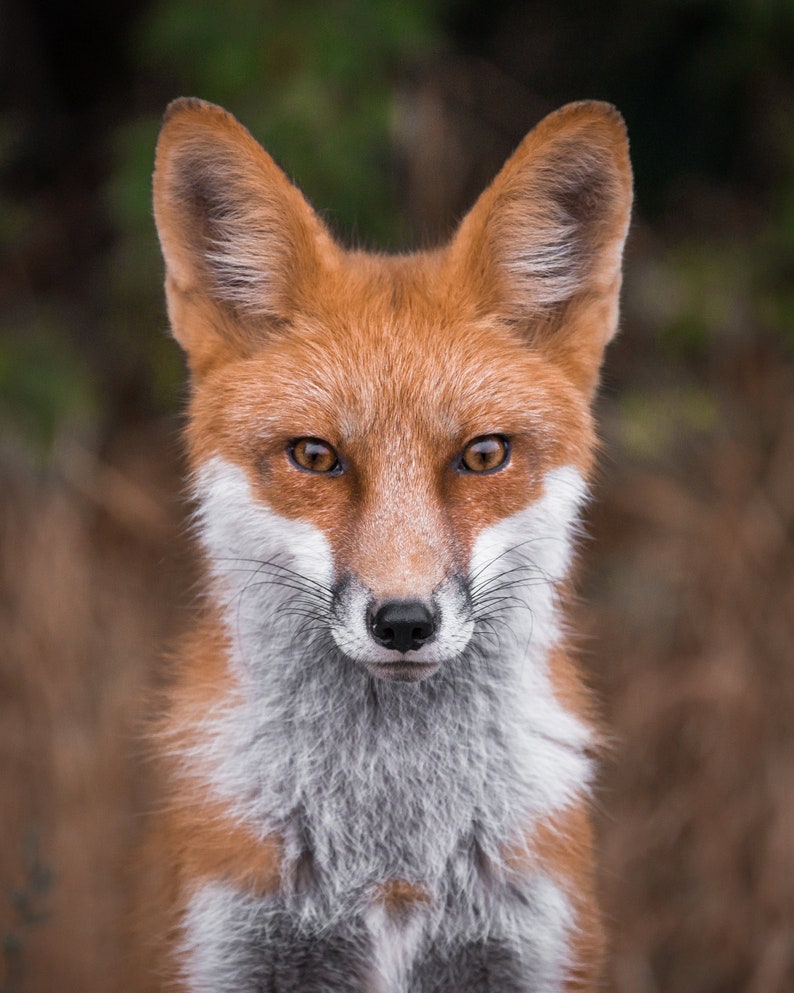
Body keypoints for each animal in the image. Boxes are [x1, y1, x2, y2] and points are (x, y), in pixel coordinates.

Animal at [145, 96, 632, 993]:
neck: (393, 860)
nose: (404, 621)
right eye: (314, 456)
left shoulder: (526, 946)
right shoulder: (231, 942)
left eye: (484, 454)